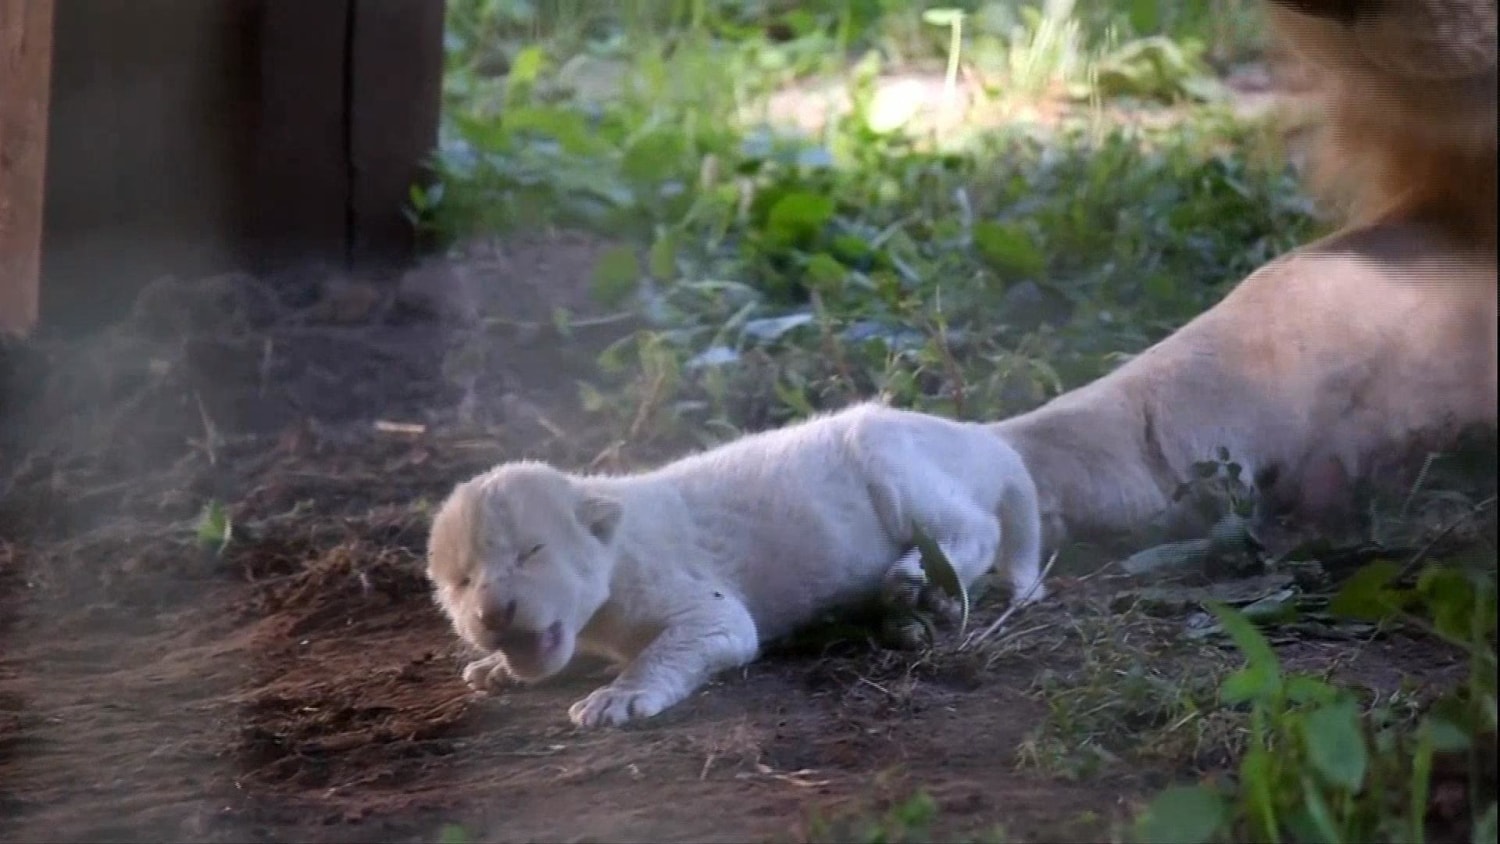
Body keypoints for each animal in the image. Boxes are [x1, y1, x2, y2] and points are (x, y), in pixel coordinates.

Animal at [425, 402, 1044, 728]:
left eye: (532, 551)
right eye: (462, 580)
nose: (493, 613)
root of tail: (975, 435)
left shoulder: (692, 594)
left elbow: (690, 637)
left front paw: (616, 698)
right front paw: (494, 670)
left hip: (895, 467)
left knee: (974, 527)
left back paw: (913, 577)